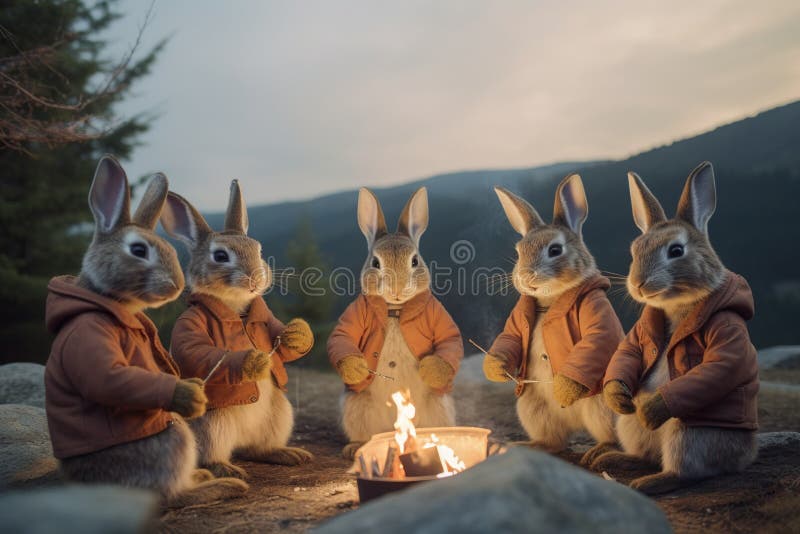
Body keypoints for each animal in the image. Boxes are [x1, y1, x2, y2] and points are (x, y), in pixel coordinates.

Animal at [45, 155, 248, 507]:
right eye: (138, 250)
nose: (177, 286)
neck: (108, 301)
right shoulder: (90, 337)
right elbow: (108, 378)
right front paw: (189, 395)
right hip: (173, 436)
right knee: (170, 495)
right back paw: (221, 485)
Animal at [163, 180, 314, 479]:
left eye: (258, 250)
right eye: (221, 256)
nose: (256, 277)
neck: (236, 307)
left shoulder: (267, 322)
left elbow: (281, 339)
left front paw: (297, 334)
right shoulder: (192, 325)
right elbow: (196, 351)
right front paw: (252, 362)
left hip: (279, 414)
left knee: (258, 449)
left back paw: (288, 454)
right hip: (214, 426)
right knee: (213, 454)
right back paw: (228, 469)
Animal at [328, 187, 464, 459]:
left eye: (415, 261)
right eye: (375, 263)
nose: (397, 289)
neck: (395, 310)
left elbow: (450, 340)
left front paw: (431, 369)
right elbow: (341, 337)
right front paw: (357, 367)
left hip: (439, 407)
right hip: (355, 407)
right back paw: (357, 448)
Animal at [484, 174, 624, 466]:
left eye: (555, 250)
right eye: (519, 252)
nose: (526, 277)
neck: (549, 302)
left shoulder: (595, 311)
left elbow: (597, 338)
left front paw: (564, 388)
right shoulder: (517, 323)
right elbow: (509, 338)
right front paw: (496, 368)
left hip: (601, 408)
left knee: (609, 435)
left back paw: (599, 452)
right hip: (532, 408)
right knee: (555, 441)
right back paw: (532, 446)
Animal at [593, 162, 759, 495]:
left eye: (676, 251)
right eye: (635, 250)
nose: (638, 284)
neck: (677, 307)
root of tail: (746, 457)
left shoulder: (726, 330)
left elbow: (719, 367)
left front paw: (651, 410)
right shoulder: (638, 336)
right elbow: (625, 354)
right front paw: (617, 395)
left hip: (688, 435)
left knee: (683, 470)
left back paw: (649, 482)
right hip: (627, 425)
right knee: (644, 454)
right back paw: (615, 460)